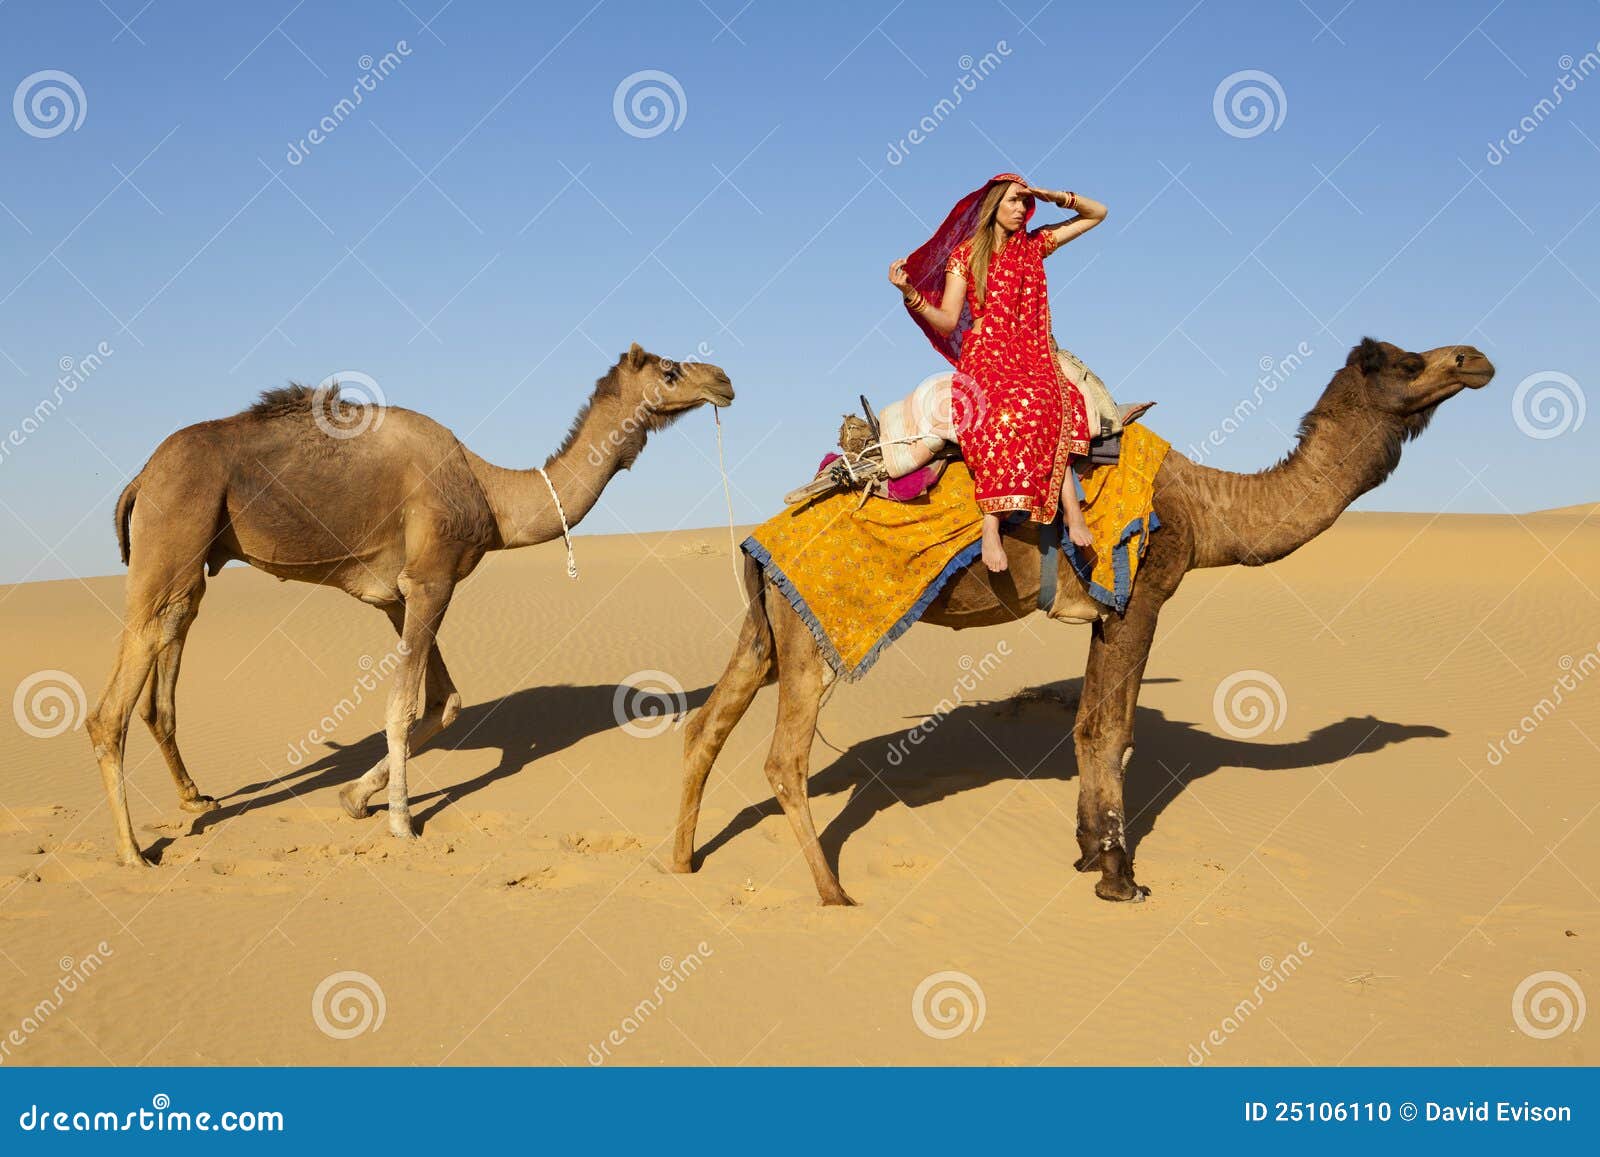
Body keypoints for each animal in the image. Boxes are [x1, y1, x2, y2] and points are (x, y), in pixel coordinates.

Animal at [88, 343, 733, 866]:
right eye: (670, 371)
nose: (724, 379)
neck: (492, 494)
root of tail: (141, 477)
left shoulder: (402, 595)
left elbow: (443, 703)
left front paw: (354, 797)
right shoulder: (432, 580)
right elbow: (401, 708)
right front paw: (402, 823)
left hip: (190, 561)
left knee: (168, 645)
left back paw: (194, 799)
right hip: (173, 530)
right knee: (113, 701)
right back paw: (132, 851)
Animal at [672, 338, 1493, 905]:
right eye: (1406, 361)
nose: (1474, 358)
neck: (1212, 509)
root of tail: (761, 535)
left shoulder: (1108, 607)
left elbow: (1089, 721)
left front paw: (1089, 850)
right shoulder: (1146, 589)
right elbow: (1112, 728)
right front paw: (1119, 876)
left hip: (767, 625)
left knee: (706, 725)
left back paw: (680, 860)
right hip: (814, 631)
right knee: (784, 758)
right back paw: (834, 893)